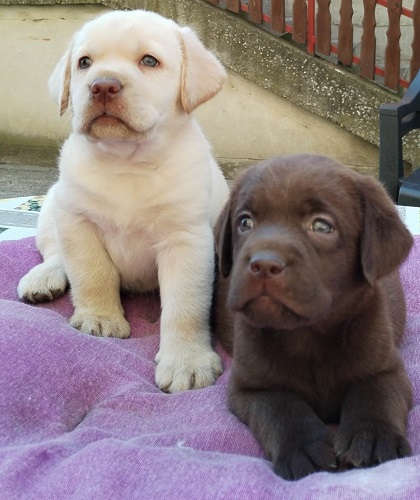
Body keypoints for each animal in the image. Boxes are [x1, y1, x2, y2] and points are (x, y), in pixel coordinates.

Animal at [18, 9, 230, 394]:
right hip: (53, 205)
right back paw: (44, 278)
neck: (126, 160)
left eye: (149, 61)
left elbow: (185, 307)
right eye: (84, 62)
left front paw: (187, 362)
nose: (103, 85)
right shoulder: (77, 222)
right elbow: (91, 273)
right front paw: (99, 318)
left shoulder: (186, 240)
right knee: (55, 253)